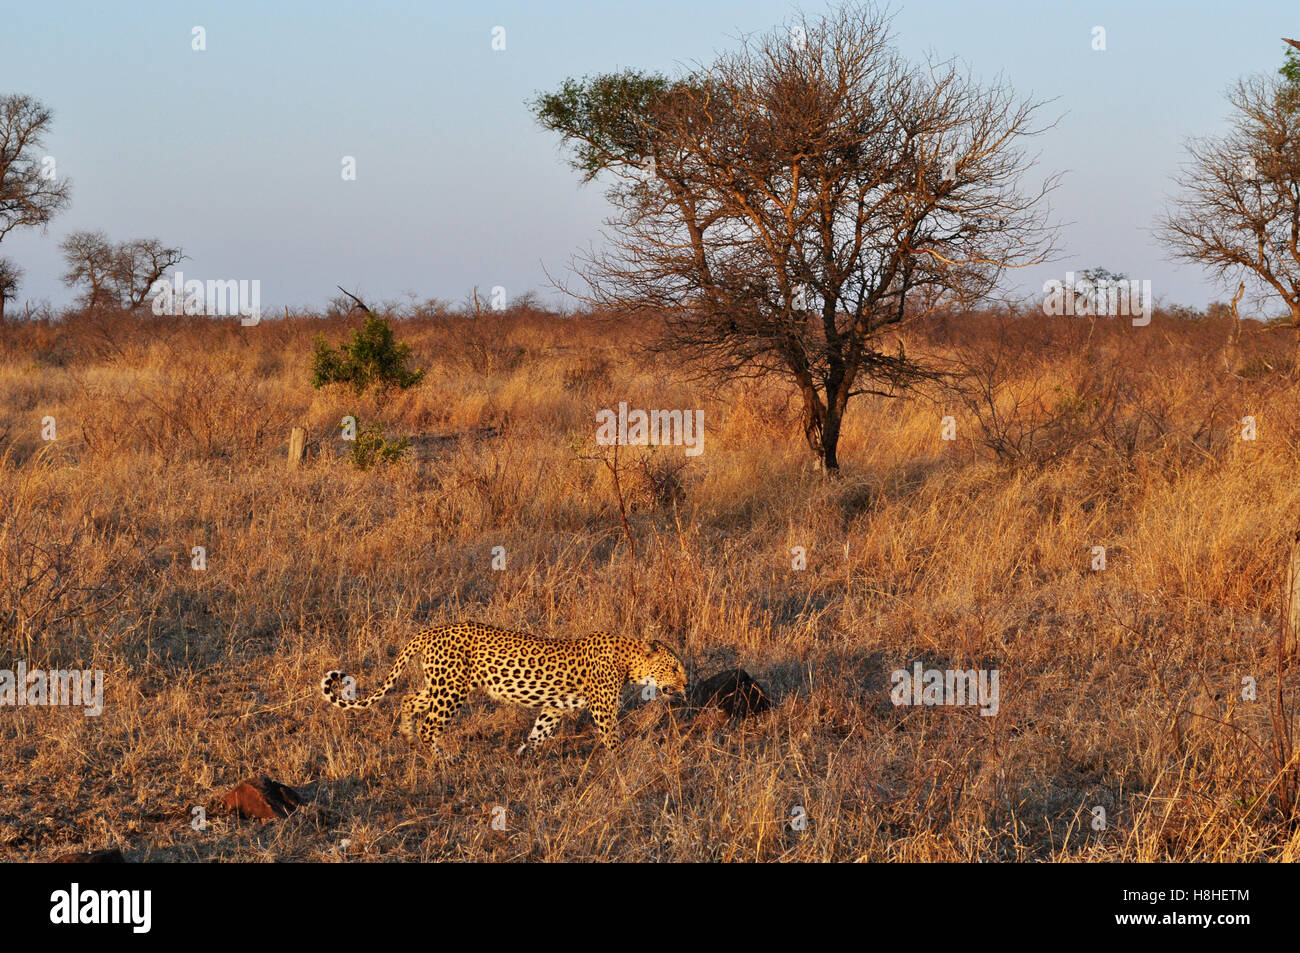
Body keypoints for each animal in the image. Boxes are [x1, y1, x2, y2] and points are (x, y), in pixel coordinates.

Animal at [320, 621, 688, 757]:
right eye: (673, 667)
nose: (686, 684)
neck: (630, 662)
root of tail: (430, 630)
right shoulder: (603, 709)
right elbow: (612, 737)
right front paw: (622, 763)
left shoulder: (554, 707)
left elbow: (538, 733)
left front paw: (522, 755)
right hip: (451, 691)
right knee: (430, 725)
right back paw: (440, 758)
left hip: (440, 685)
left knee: (409, 700)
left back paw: (408, 737)